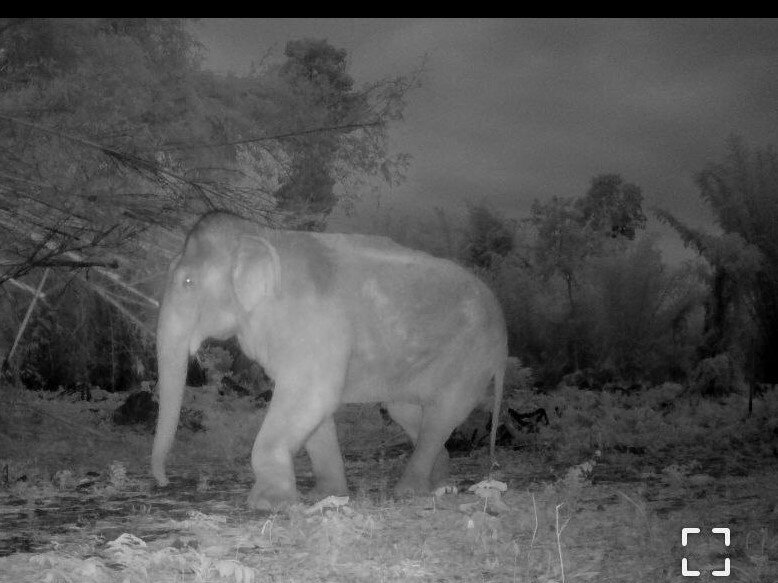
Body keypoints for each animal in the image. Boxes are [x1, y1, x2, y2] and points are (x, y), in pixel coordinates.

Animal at [151, 211, 507, 509]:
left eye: (187, 282)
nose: (164, 481)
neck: (262, 235)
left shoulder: (316, 326)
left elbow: (312, 395)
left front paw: (268, 504)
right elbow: (314, 409)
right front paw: (324, 496)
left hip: (472, 357)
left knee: (443, 412)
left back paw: (408, 492)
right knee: (405, 410)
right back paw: (439, 484)